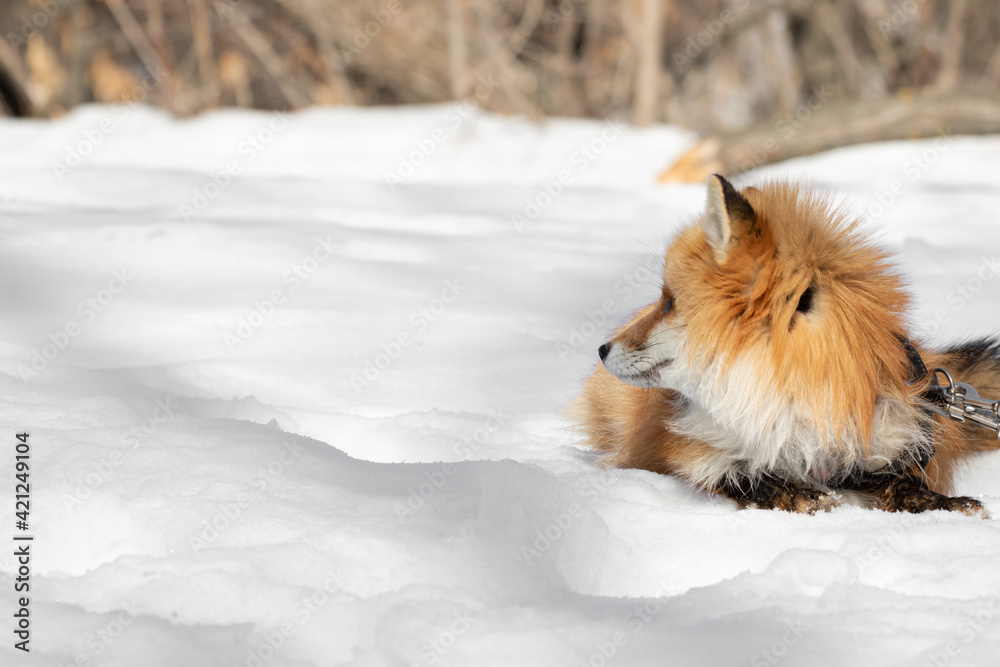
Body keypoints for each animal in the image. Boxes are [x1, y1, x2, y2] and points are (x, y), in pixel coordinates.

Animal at [574, 175, 1000, 516]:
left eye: (669, 302)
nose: (602, 349)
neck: (792, 400)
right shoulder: (690, 449)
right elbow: (745, 477)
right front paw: (802, 496)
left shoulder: (889, 440)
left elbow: (902, 483)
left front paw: (941, 505)